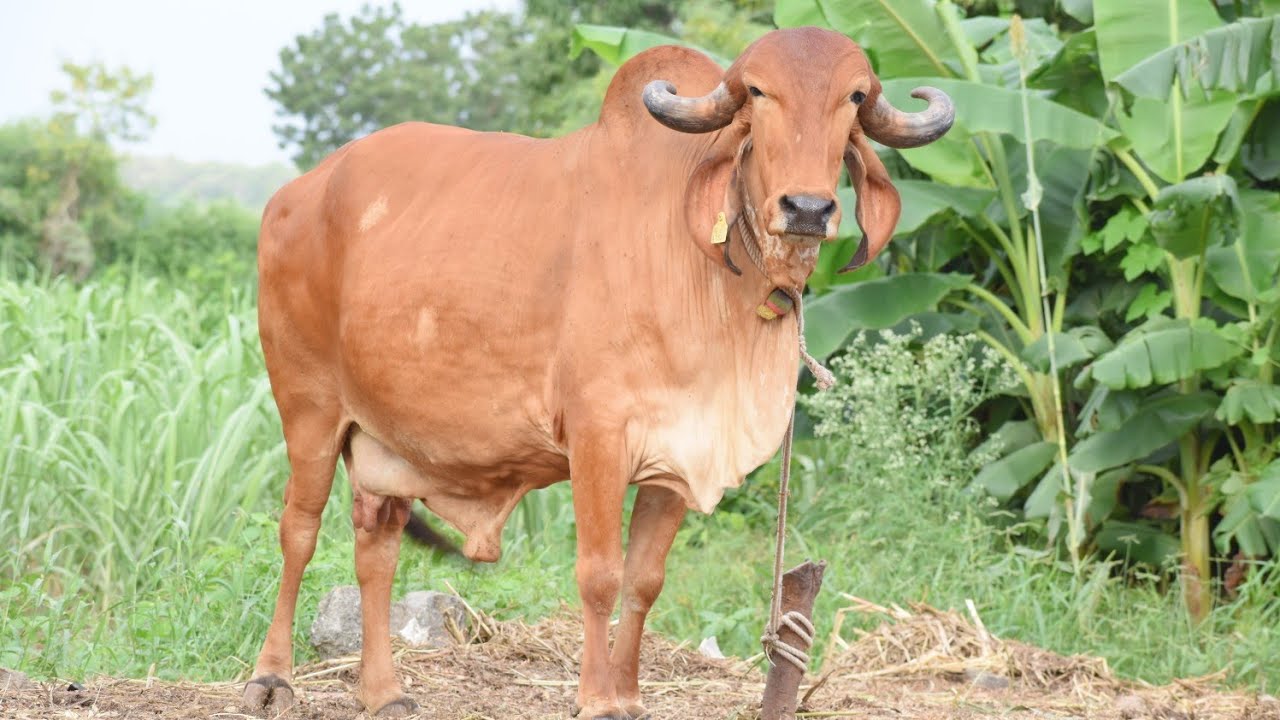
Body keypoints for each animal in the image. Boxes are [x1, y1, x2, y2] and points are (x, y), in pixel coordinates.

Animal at [242, 26, 953, 720]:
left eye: (855, 97)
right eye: (757, 91)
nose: (807, 208)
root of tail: (298, 192)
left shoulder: (678, 452)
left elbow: (645, 580)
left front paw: (630, 696)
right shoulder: (597, 438)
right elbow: (600, 575)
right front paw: (596, 699)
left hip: (388, 438)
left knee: (376, 545)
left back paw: (383, 691)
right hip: (308, 407)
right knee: (299, 531)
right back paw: (272, 680)